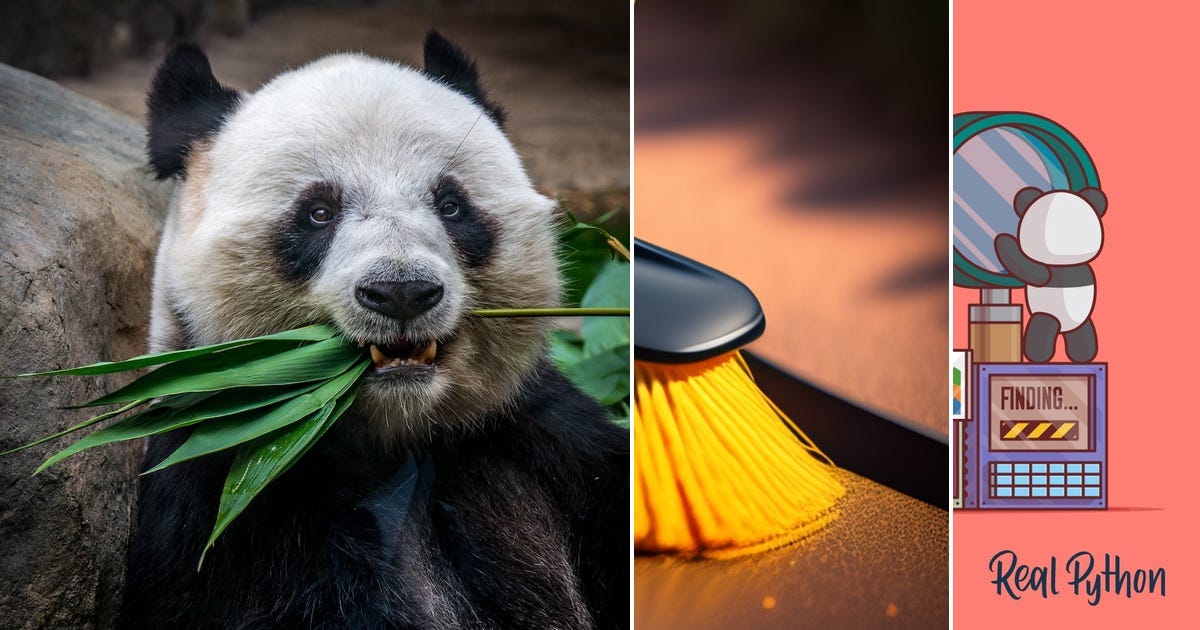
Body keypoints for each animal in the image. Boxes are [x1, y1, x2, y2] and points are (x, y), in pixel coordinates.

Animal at [119, 33, 629, 629]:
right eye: (318, 212)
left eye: (451, 204)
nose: (401, 291)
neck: (394, 432)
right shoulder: (235, 490)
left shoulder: (540, 439)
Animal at [994, 186, 1106, 363]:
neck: (1063, 264)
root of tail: (1063, 329)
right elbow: (1037, 273)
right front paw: (1003, 239)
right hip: (1047, 316)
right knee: (1043, 328)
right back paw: (1039, 355)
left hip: (1082, 322)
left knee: (1081, 334)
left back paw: (1083, 355)